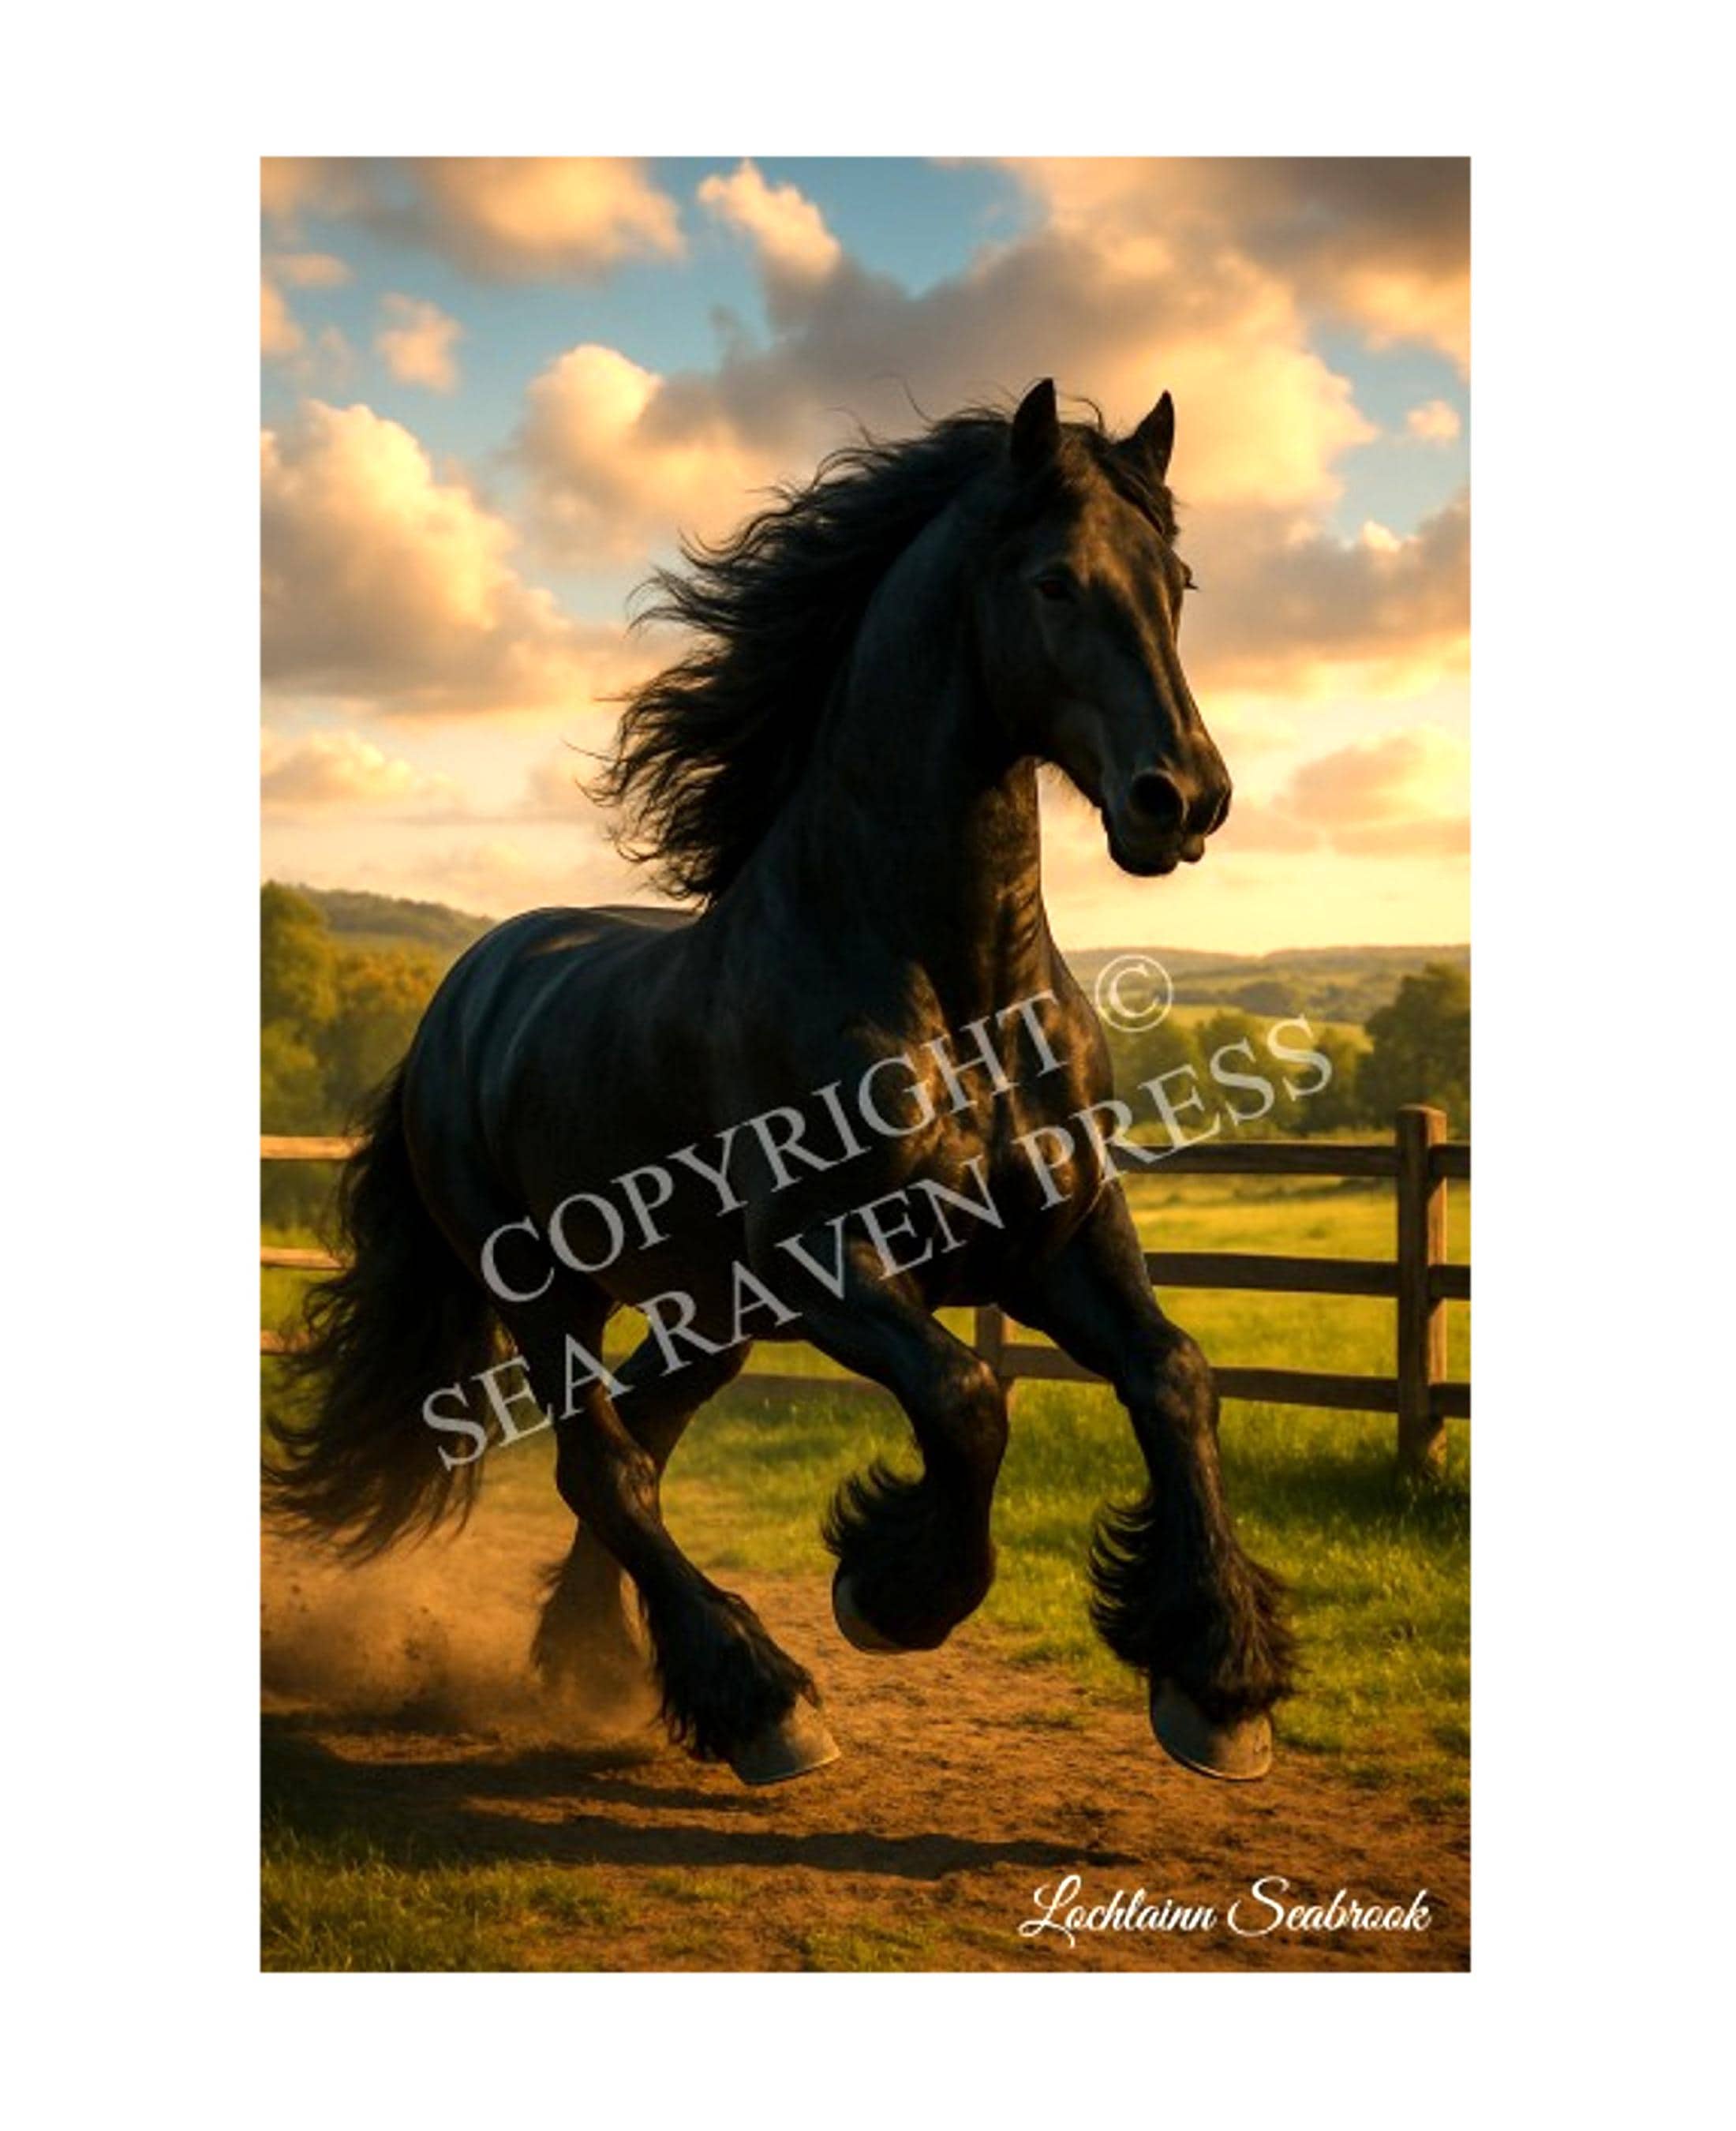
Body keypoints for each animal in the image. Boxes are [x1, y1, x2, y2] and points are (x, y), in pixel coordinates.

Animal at [269, 377, 1295, 1787]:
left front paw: (1219, 1682)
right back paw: (759, 1701)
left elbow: (1178, 1377)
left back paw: (599, 1664)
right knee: (604, 1464)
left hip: (708, 1308)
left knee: (639, 1446)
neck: (952, 997)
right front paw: (892, 1593)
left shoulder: (1064, 1244)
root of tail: (463, 992)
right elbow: (968, 1402)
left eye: (1177, 581)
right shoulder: (825, 1261)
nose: (1181, 799)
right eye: (1054, 582)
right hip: (547, 1291)